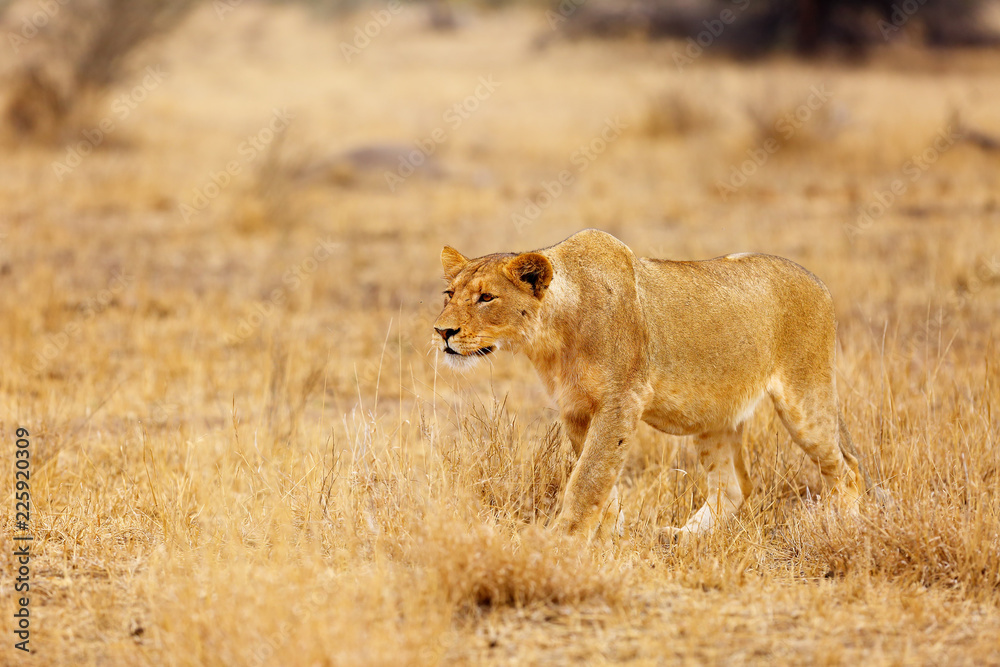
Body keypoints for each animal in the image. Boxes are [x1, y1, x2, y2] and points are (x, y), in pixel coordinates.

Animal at [433, 229, 871, 542]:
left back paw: (844, 529)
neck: (553, 336)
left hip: (805, 399)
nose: (442, 332)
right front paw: (610, 538)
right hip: (715, 417)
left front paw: (561, 542)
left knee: (847, 469)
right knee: (734, 486)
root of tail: (817, 280)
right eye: (449, 294)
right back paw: (681, 536)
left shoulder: (621, 401)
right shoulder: (575, 408)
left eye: (487, 297)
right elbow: (601, 483)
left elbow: (588, 478)